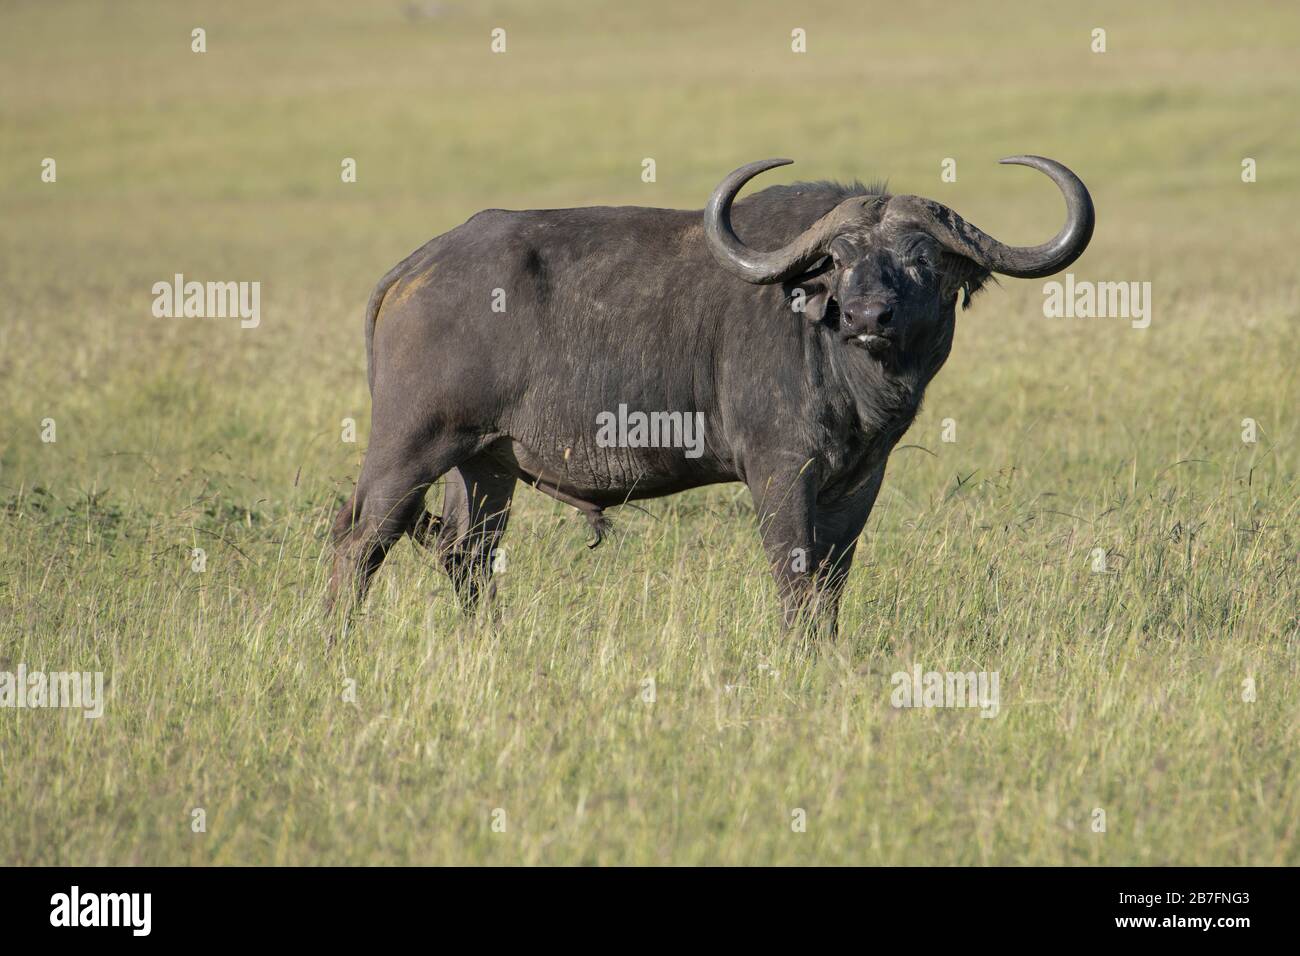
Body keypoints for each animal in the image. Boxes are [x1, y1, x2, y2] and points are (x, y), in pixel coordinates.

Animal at [329, 156, 1094, 634]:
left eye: (921, 258)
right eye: (840, 259)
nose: (867, 315)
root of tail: (417, 266)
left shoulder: (860, 480)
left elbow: (834, 579)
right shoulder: (780, 471)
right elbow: (794, 571)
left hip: (486, 464)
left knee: (467, 553)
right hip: (410, 447)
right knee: (360, 537)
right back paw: (341, 640)